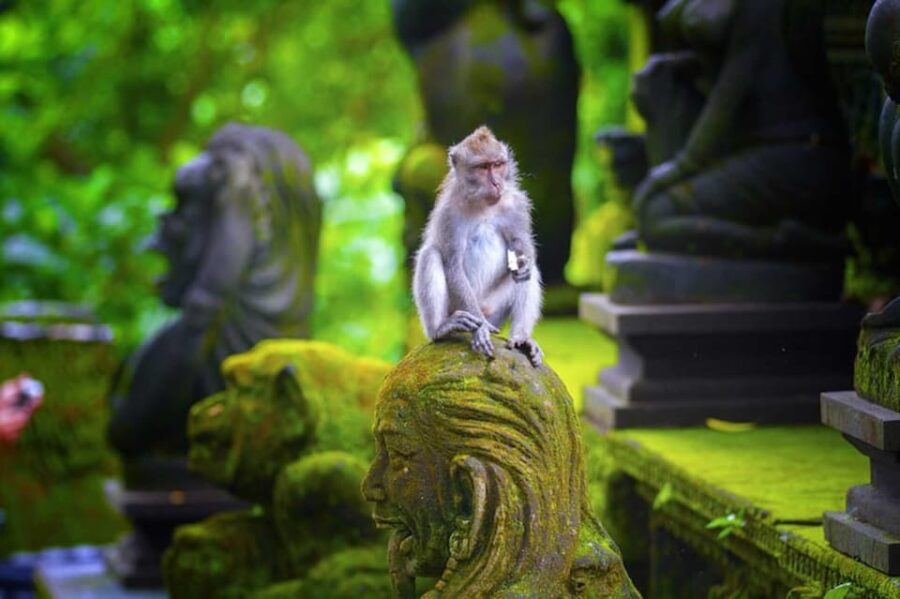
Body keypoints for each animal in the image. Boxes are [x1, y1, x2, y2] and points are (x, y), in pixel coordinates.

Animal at [413, 126, 543, 367]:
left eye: (498, 164)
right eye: (483, 167)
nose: (496, 183)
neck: (483, 204)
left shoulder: (516, 205)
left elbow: (523, 250)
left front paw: (523, 263)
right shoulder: (449, 214)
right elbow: (453, 265)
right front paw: (480, 329)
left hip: (495, 309)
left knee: (531, 271)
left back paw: (521, 338)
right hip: (458, 308)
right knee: (430, 254)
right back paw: (440, 329)